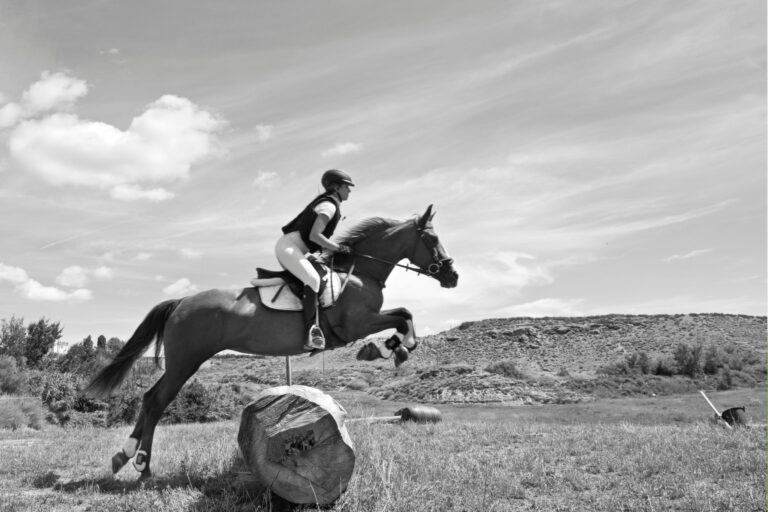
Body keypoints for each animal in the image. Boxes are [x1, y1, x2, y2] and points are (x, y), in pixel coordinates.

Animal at [85, 204, 458, 480]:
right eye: (432, 238)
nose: (453, 276)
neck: (361, 271)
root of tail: (181, 301)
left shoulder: (366, 320)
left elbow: (405, 315)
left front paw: (395, 348)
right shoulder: (357, 323)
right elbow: (403, 316)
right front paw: (390, 349)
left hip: (183, 361)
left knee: (150, 398)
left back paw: (124, 456)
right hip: (186, 361)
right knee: (156, 400)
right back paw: (142, 465)